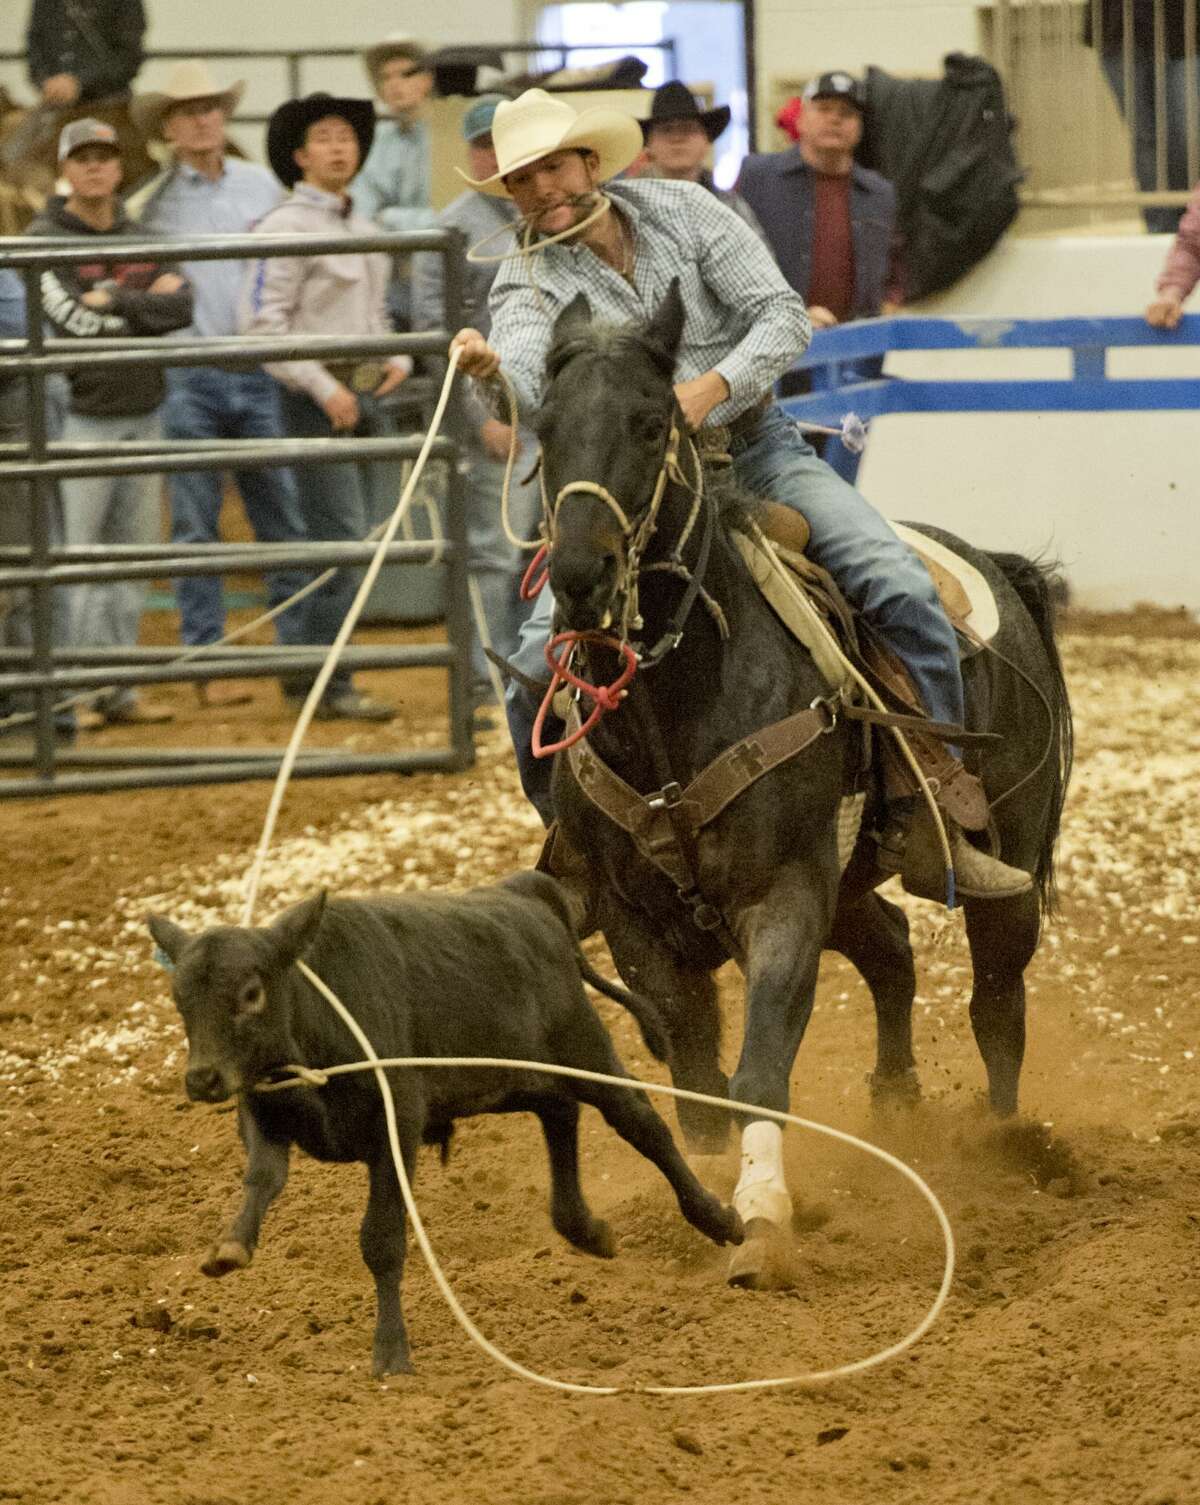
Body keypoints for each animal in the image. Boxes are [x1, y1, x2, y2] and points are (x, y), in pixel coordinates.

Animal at [148, 871, 743, 1377]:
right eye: (179, 999)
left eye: (251, 993)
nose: (202, 1079)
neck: (317, 1024)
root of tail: (524, 893)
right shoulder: (265, 1114)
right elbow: (263, 1179)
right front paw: (231, 1246)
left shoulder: (396, 1129)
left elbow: (381, 1240)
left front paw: (391, 1351)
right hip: (512, 1078)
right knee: (559, 1113)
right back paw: (588, 1229)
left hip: (585, 1051)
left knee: (642, 1124)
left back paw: (720, 1220)